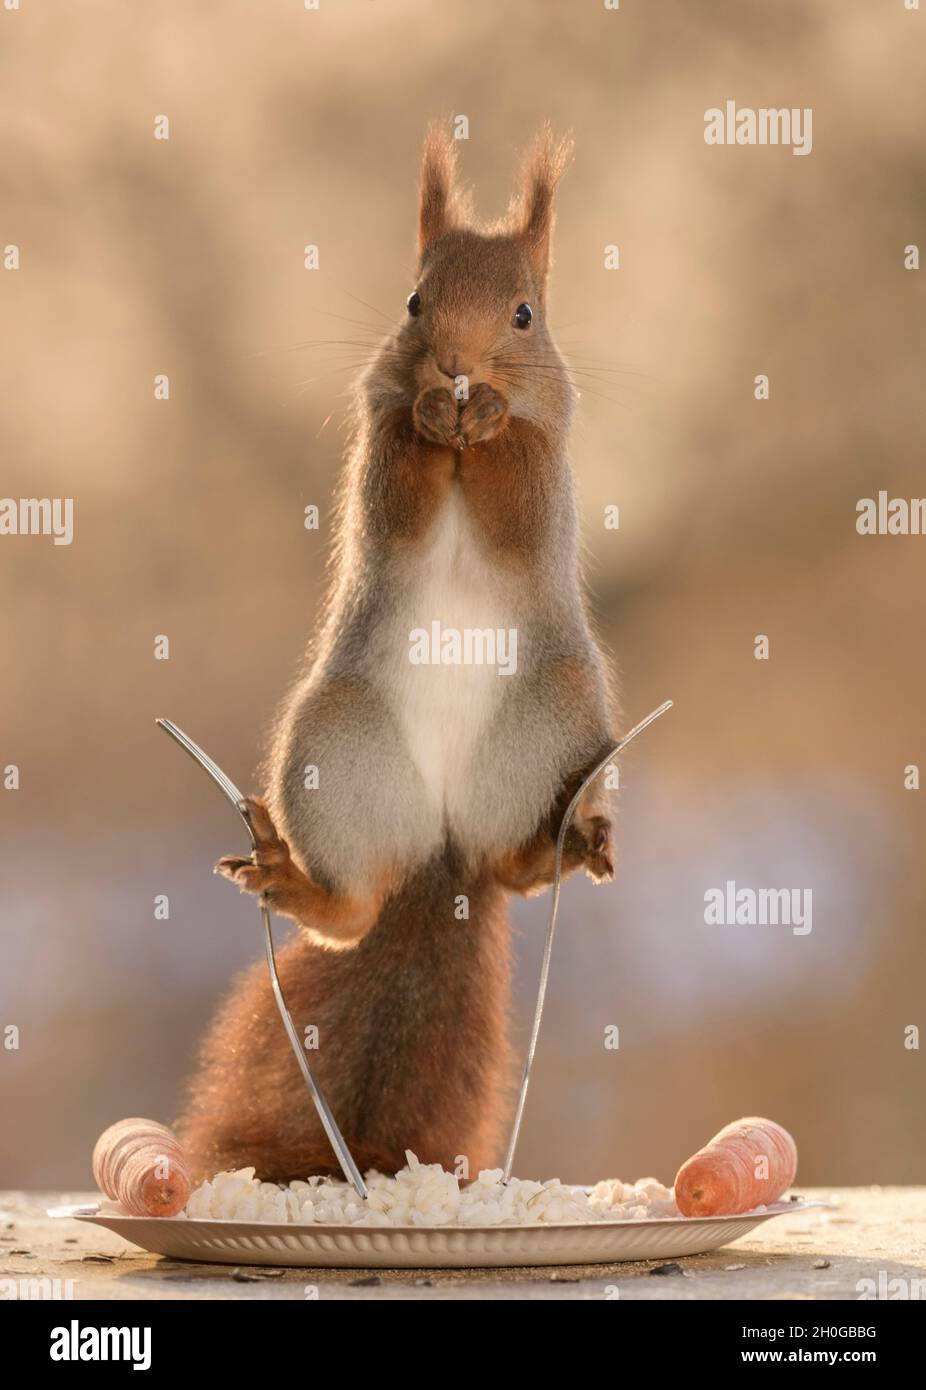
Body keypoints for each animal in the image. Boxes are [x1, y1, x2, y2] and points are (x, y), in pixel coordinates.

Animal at [178, 126, 618, 1184]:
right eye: (414, 301)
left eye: (525, 314)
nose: (453, 367)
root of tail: (442, 844)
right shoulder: (375, 449)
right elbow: (403, 479)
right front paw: (430, 413)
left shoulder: (549, 460)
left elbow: (515, 485)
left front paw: (486, 415)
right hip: (338, 749)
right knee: (354, 914)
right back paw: (305, 884)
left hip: (557, 722)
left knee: (516, 870)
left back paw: (561, 846)